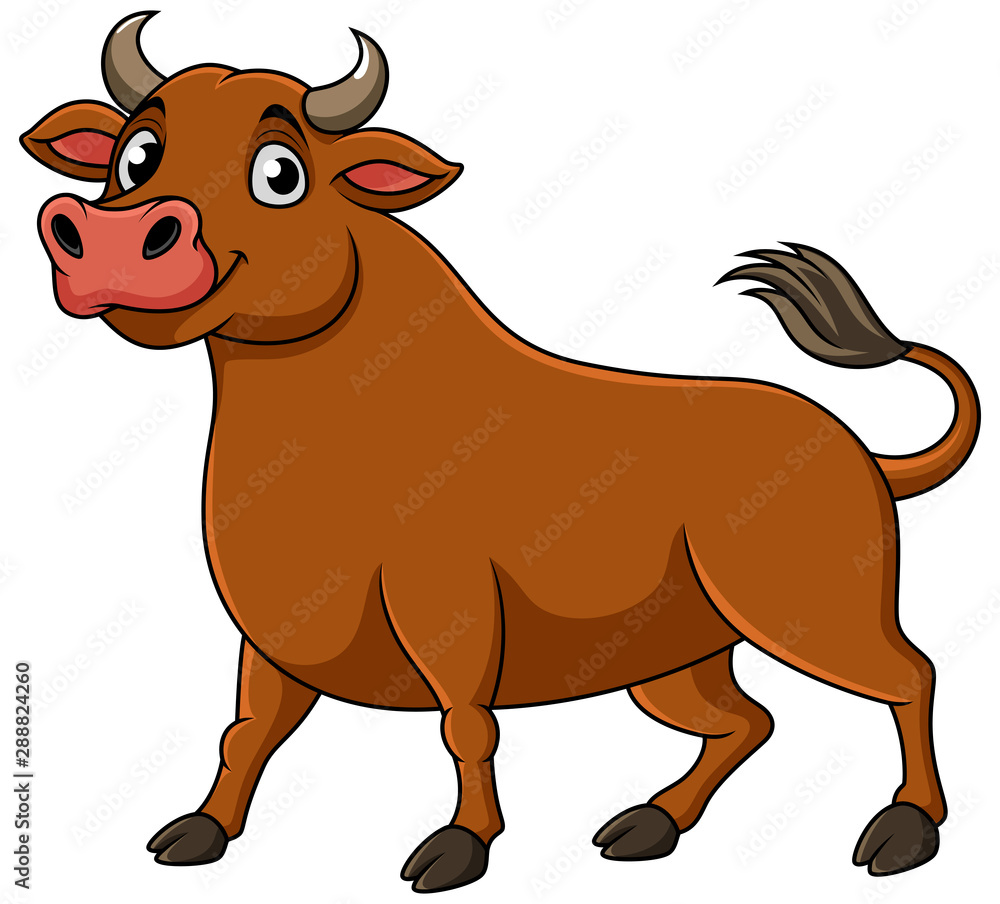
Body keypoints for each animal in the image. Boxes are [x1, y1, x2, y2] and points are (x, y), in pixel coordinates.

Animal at [22, 11, 980, 893]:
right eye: (137, 155)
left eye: (281, 172)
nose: (115, 238)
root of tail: (858, 449)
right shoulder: (272, 636)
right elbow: (246, 730)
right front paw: (199, 832)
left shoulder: (448, 609)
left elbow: (465, 723)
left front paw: (459, 847)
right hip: (678, 660)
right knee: (745, 721)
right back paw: (649, 825)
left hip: (811, 611)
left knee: (910, 676)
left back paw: (905, 832)